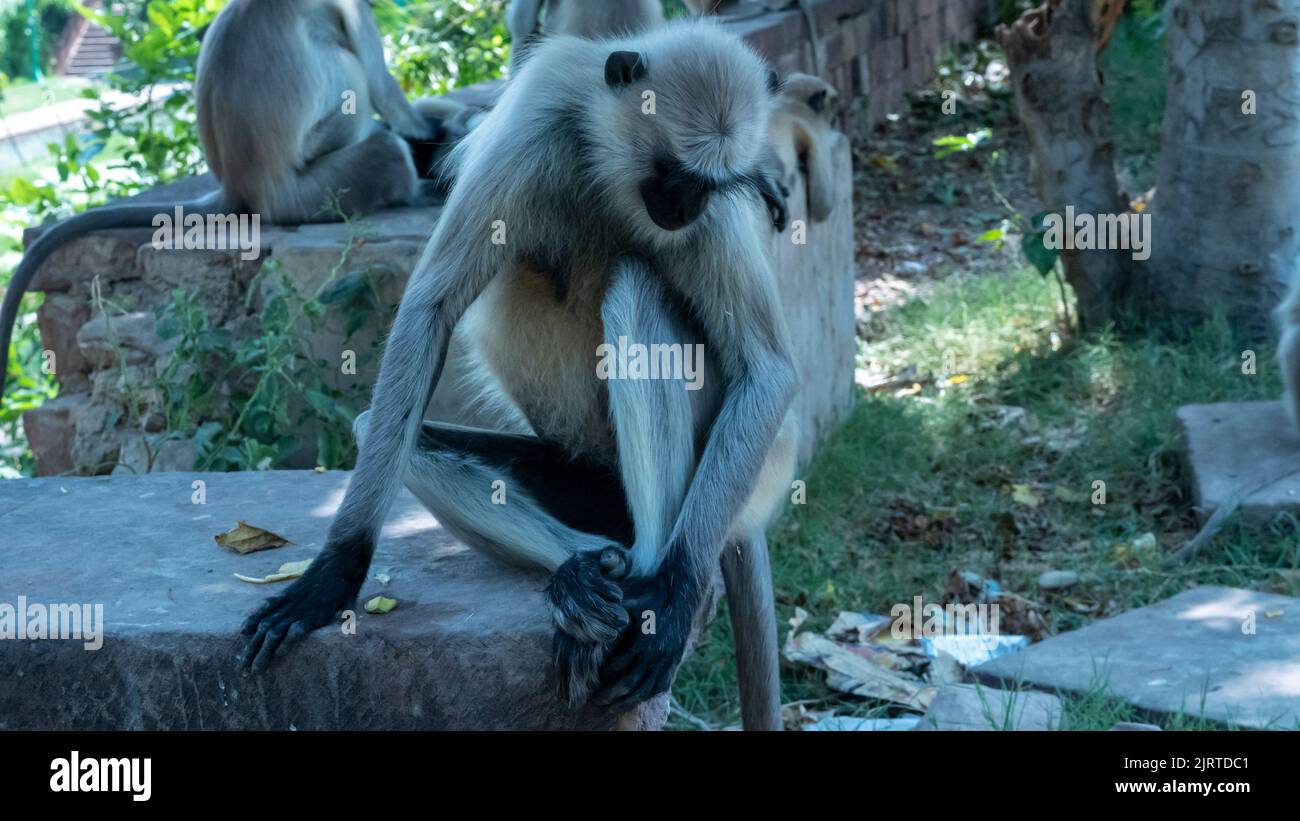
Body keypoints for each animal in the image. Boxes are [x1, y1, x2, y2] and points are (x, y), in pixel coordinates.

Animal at [241, 19, 799, 731]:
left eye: (705, 183)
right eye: (670, 173)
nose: (682, 210)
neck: (609, 170)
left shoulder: (722, 206)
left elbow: (768, 372)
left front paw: (670, 597)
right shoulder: (540, 116)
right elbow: (429, 311)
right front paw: (336, 572)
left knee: (637, 286)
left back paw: (644, 583)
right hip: (581, 479)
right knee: (388, 433)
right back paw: (589, 575)